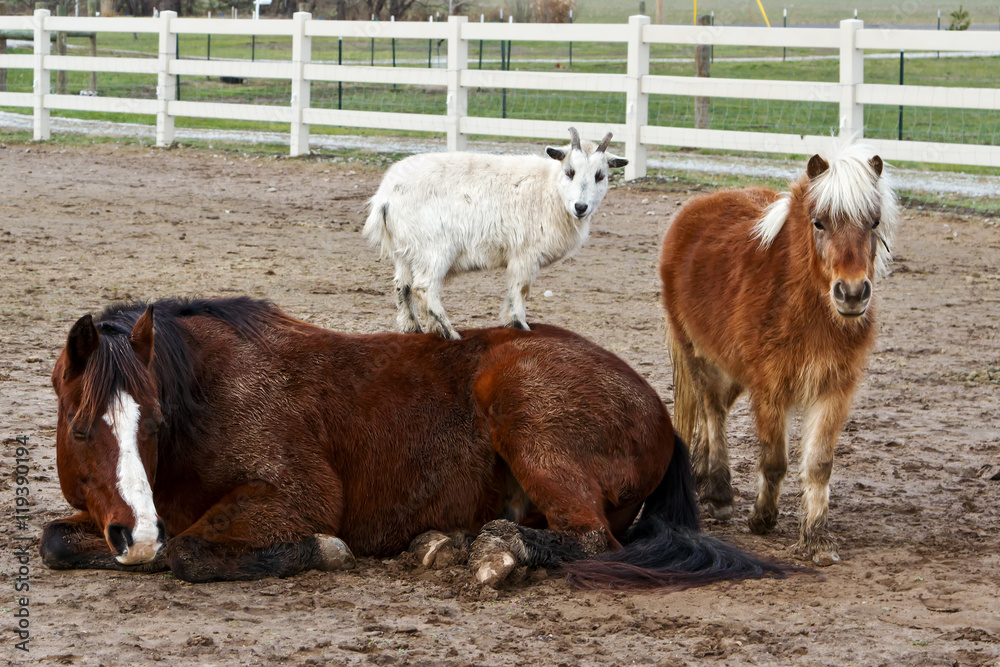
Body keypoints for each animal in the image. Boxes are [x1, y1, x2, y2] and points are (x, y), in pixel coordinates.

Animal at [41, 297, 790, 589]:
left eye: (153, 425)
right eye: (82, 429)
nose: (138, 533)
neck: (209, 395)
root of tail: (659, 413)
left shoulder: (289, 499)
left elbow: (192, 552)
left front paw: (324, 551)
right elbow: (55, 541)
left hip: (523, 407)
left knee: (589, 540)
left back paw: (495, 552)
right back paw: (448, 542)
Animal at [363, 127, 628, 340]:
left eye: (600, 175)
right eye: (569, 171)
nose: (581, 207)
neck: (549, 189)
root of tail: (386, 197)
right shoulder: (525, 254)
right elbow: (520, 290)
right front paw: (520, 325)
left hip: (405, 250)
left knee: (403, 287)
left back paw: (413, 329)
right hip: (434, 248)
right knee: (425, 288)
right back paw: (449, 332)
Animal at [659, 141, 899, 566]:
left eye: (873, 222)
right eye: (819, 223)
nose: (852, 293)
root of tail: (696, 208)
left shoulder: (834, 389)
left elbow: (819, 465)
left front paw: (817, 539)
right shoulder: (770, 388)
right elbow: (774, 460)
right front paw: (762, 518)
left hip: (734, 370)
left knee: (713, 409)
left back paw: (702, 477)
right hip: (698, 356)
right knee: (711, 409)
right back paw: (718, 491)